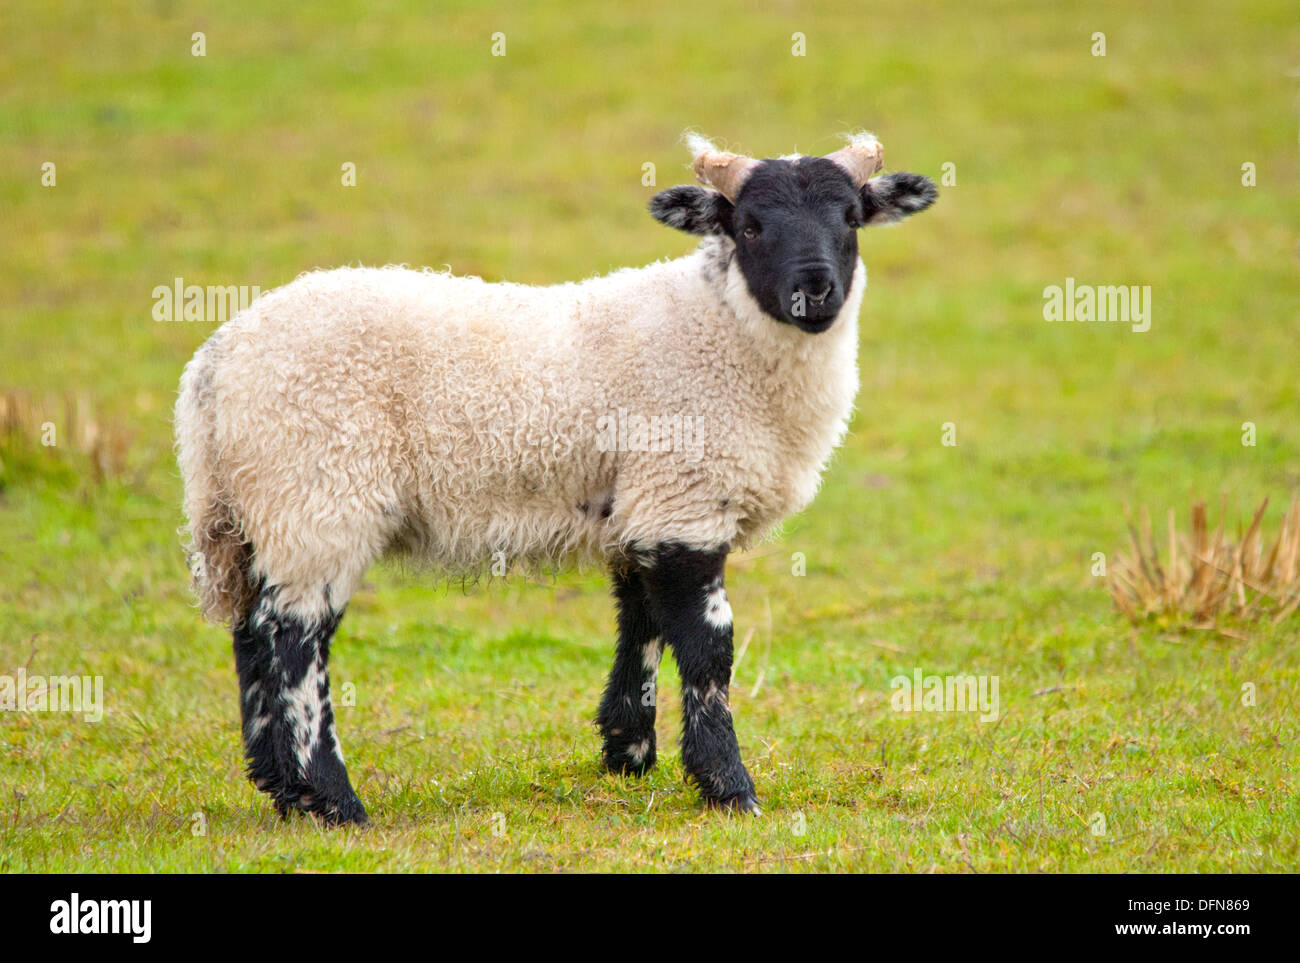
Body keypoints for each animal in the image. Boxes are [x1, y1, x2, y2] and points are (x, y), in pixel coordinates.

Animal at [175, 132, 937, 825]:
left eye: (850, 218)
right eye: (748, 226)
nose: (815, 291)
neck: (720, 332)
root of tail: (215, 365)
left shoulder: (643, 503)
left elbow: (642, 622)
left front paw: (628, 752)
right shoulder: (685, 497)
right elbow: (707, 647)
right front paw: (728, 786)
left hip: (257, 508)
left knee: (252, 633)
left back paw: (283, 790)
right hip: (317, 494)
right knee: (295, 642)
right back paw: (333, 800)